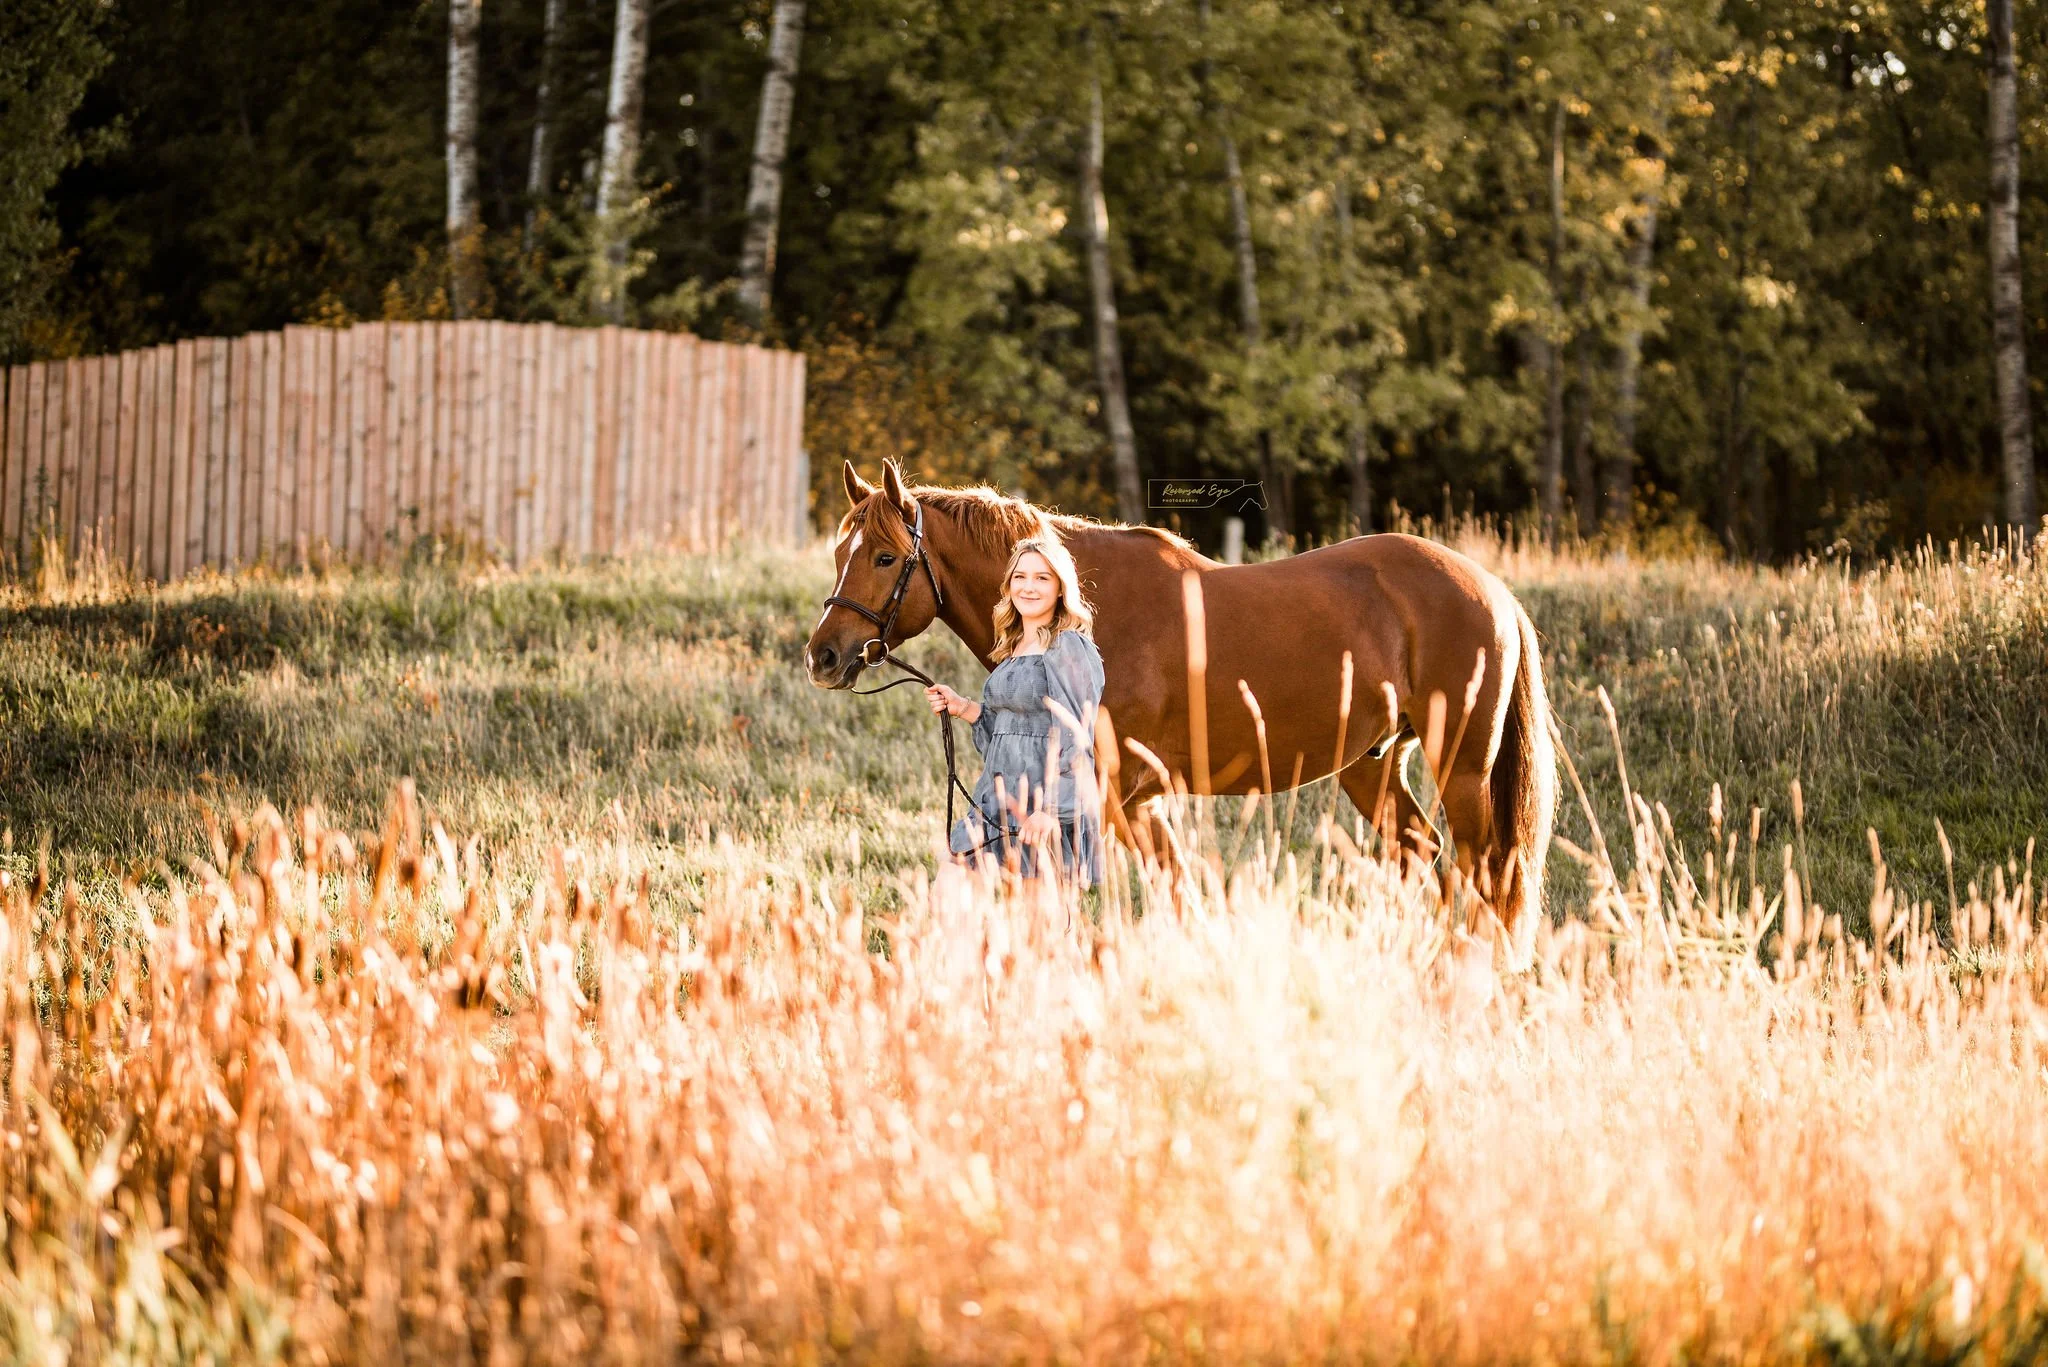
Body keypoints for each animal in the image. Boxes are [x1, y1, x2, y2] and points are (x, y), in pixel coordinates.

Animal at [805, 458, 1557, 964]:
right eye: (840, 551)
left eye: (884, 557)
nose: (824, 656)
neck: (1091, 615)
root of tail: (1492, 591)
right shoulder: (1138, 803)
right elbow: (1174, 899)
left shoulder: (1118, 796)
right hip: (1371, 768)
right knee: (1423, 857)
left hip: (1462, 766)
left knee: (1486, 873)